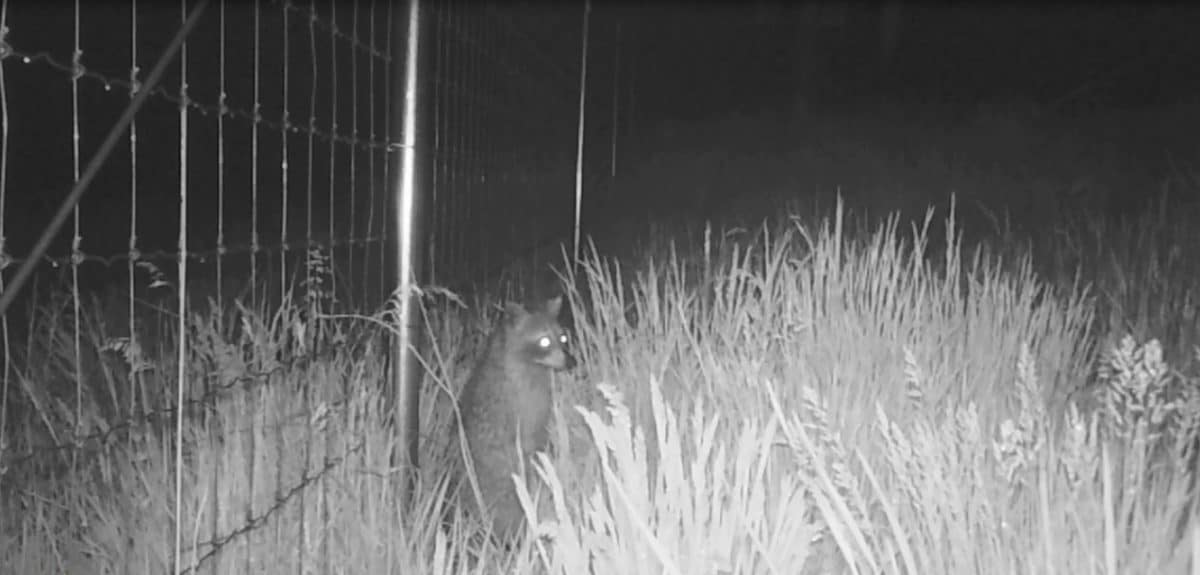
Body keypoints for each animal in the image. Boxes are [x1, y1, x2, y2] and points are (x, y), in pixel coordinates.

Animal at [452, 295, 575, 543]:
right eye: (544, 341)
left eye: (563, 338)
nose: (571, 362)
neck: (535, 368)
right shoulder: (522, 405)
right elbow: (531, 439)